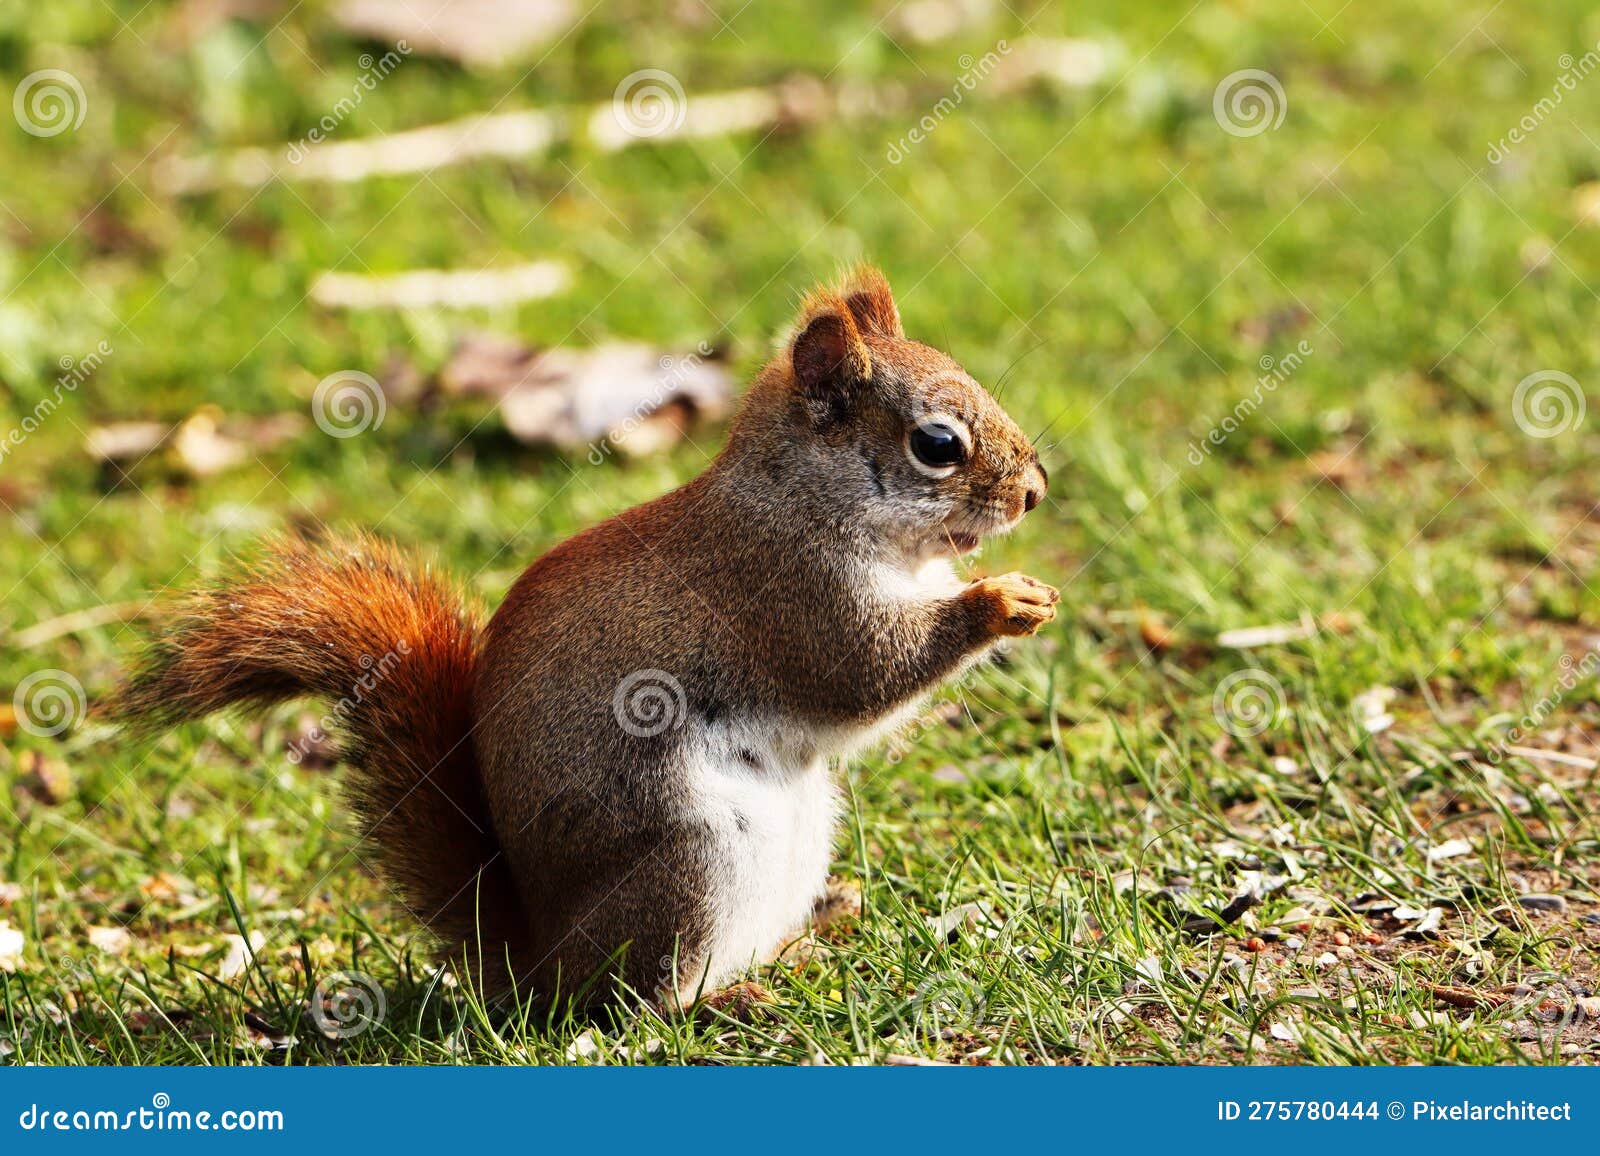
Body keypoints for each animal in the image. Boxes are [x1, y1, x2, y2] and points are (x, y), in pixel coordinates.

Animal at [112, 265, 1056, 1008]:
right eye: (937, 444)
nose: (1035, 493)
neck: (807, 501)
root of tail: (542, 963)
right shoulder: (792, 600)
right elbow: (868, 677)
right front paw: (1001, 602)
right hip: (690, 864)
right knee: (632, 1003)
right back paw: (715, 1002)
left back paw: (798, 942)